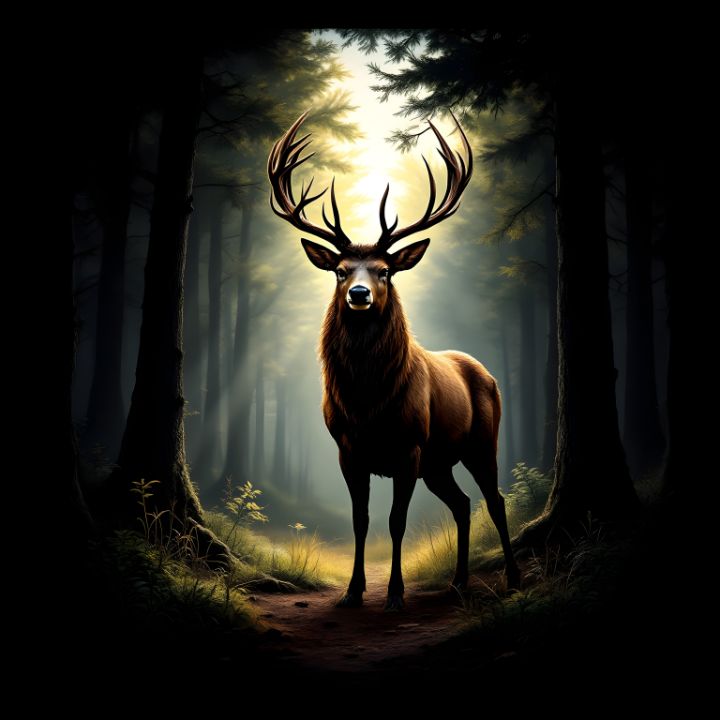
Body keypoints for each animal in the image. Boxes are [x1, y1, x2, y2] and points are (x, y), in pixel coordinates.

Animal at [268, 112, 520, 611]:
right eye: (340, 270)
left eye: (384, 270)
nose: (359, 294)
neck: (368, 402)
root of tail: (486, 372)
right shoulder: (348, 448)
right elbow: (361, 520)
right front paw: (352, 592)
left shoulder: (408, 446)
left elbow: (396, 522)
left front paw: (396, 595)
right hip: (439, 462)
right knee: (462, 503)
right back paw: (458, 582)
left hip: (480, 441)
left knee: (494, 500)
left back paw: (513, 579)